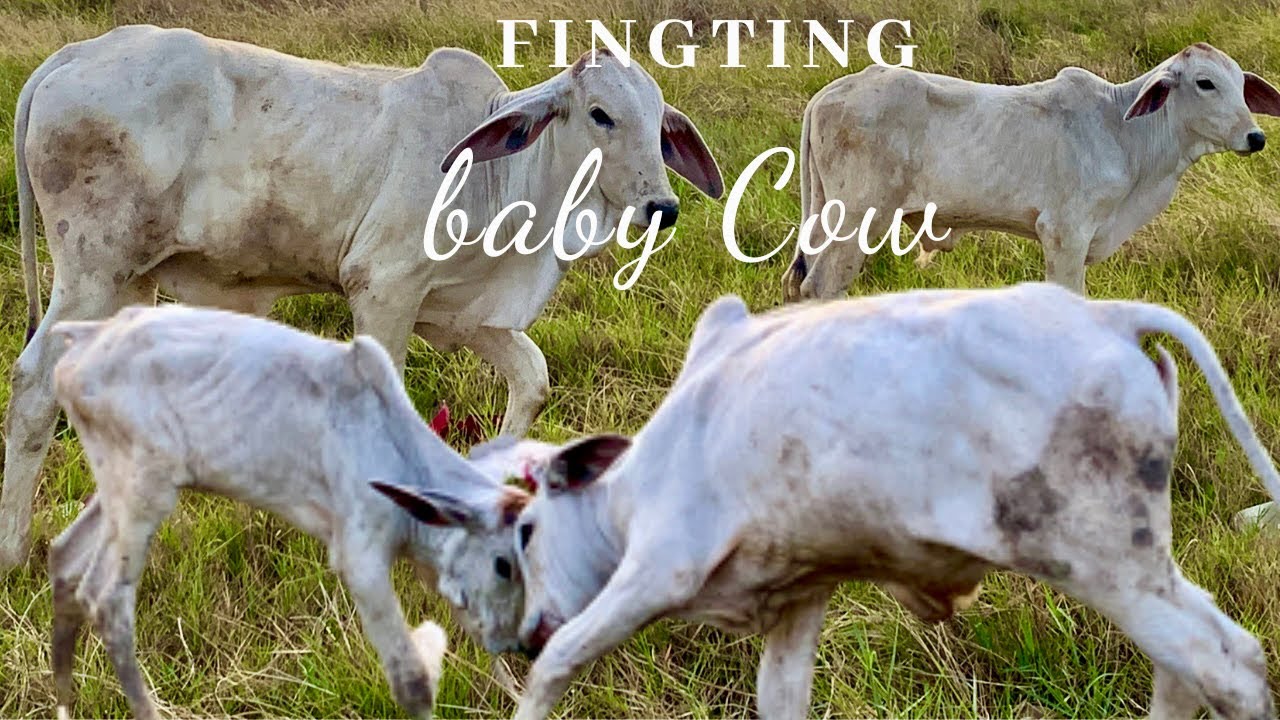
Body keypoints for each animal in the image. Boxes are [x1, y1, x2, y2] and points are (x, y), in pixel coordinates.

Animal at [1, 24, 724, 570]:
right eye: (602, 115)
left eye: (661, 127)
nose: (662, 207)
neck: (507, 181)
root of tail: (71, 57)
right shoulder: (384, 286)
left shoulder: (459, 312)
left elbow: (532, 377)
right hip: (91, 271)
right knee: (35, 385)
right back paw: (16, 552)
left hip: (132, 282)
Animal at [46, 304, 535, 720]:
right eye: (505, 565)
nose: (529, 642)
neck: (401, 450)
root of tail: (82, 340)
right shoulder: (361, 557)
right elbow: (411, 680)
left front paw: (513, 694)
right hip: (145, 489)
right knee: (106, 597)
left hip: (115, 485)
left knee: (64, 556)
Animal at [395, 283, 1280, 720]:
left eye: (526, 535)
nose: (522, 633)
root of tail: (1106, 316)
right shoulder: (796, 598)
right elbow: (779, 701)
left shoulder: (660, 570)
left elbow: (561, 668)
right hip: (1139, 566)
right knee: (1191, 664)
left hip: (1103, 563)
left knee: (1227, 665)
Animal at [781, 43, 1280, 300]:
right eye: (1205, 82)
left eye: (1241, 84)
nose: (1255, 137)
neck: (1123, 131)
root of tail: (828, 92)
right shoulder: (1065, 234)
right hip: (859, 218)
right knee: (820, 286)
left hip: (824, 215)